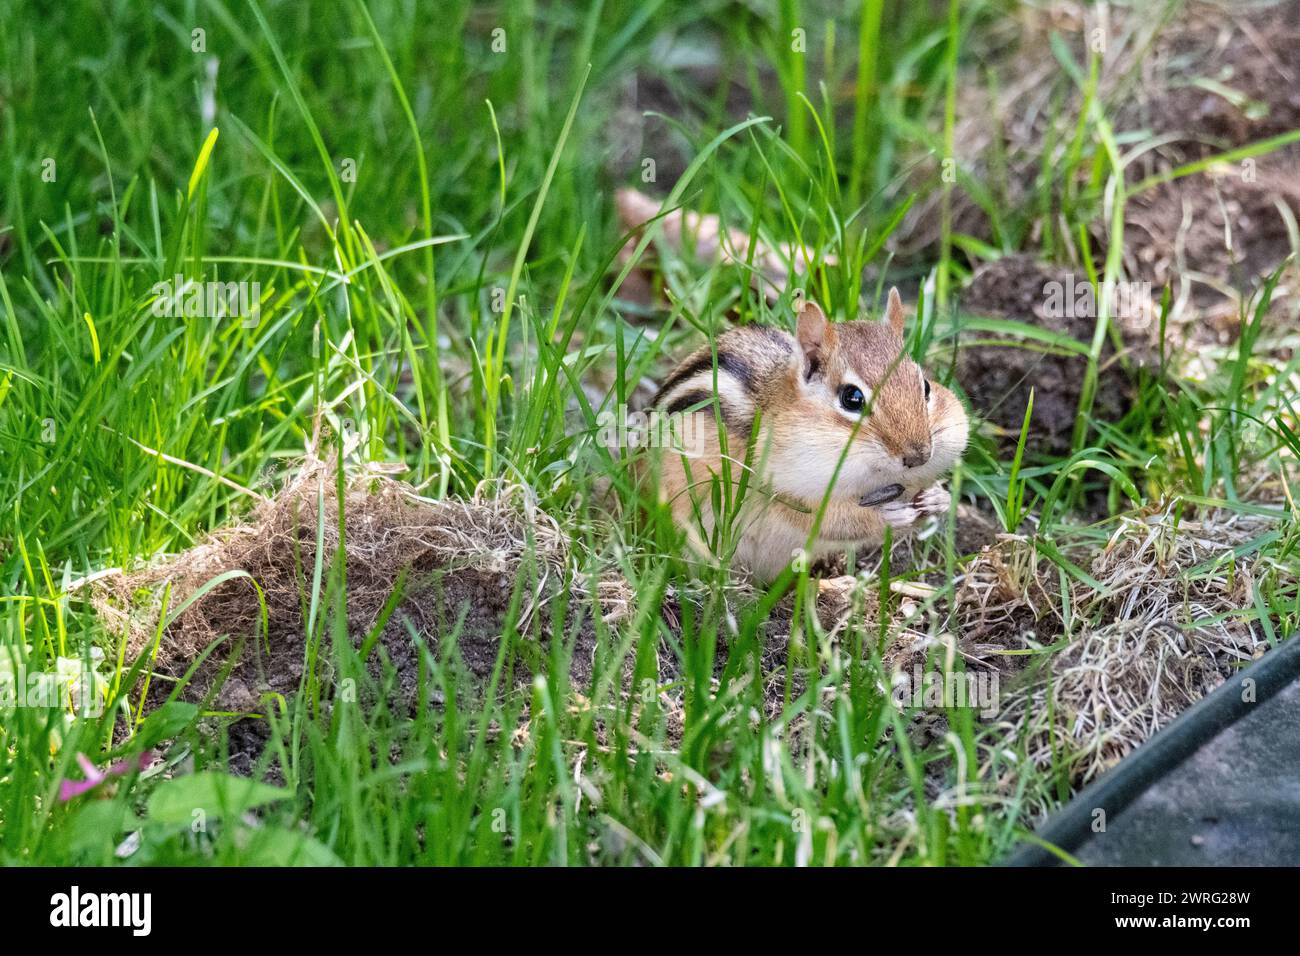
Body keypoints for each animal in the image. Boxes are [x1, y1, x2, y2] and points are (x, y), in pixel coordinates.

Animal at [648, 288, 968, 582]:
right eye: (852, 398)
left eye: (925, 386)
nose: (919, 456)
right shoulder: (782, 492)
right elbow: (830, 521)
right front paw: (887, 517)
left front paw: (938, 498)